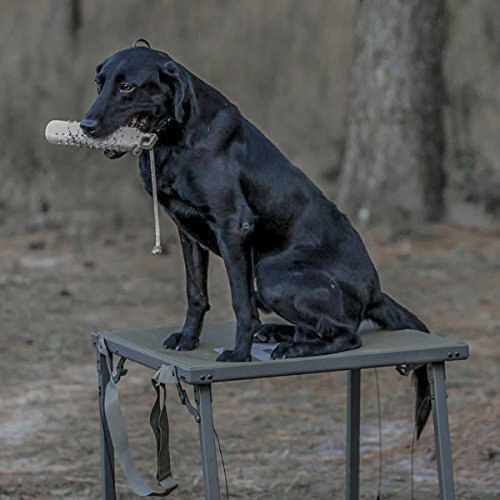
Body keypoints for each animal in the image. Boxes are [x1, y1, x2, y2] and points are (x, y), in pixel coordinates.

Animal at [81, 47, 430, 438]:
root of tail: (375, 291)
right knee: (320, 327)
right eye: (99, 83)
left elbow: (240, 302)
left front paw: (239, 354)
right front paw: (188, 339)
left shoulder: (232, 225)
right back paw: (279, 333)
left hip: (272, 273)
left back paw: (293, 349)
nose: (86, 126)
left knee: (347, 333)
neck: (178, 136)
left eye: (127, 86)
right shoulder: (186, 230)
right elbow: (195, 293)